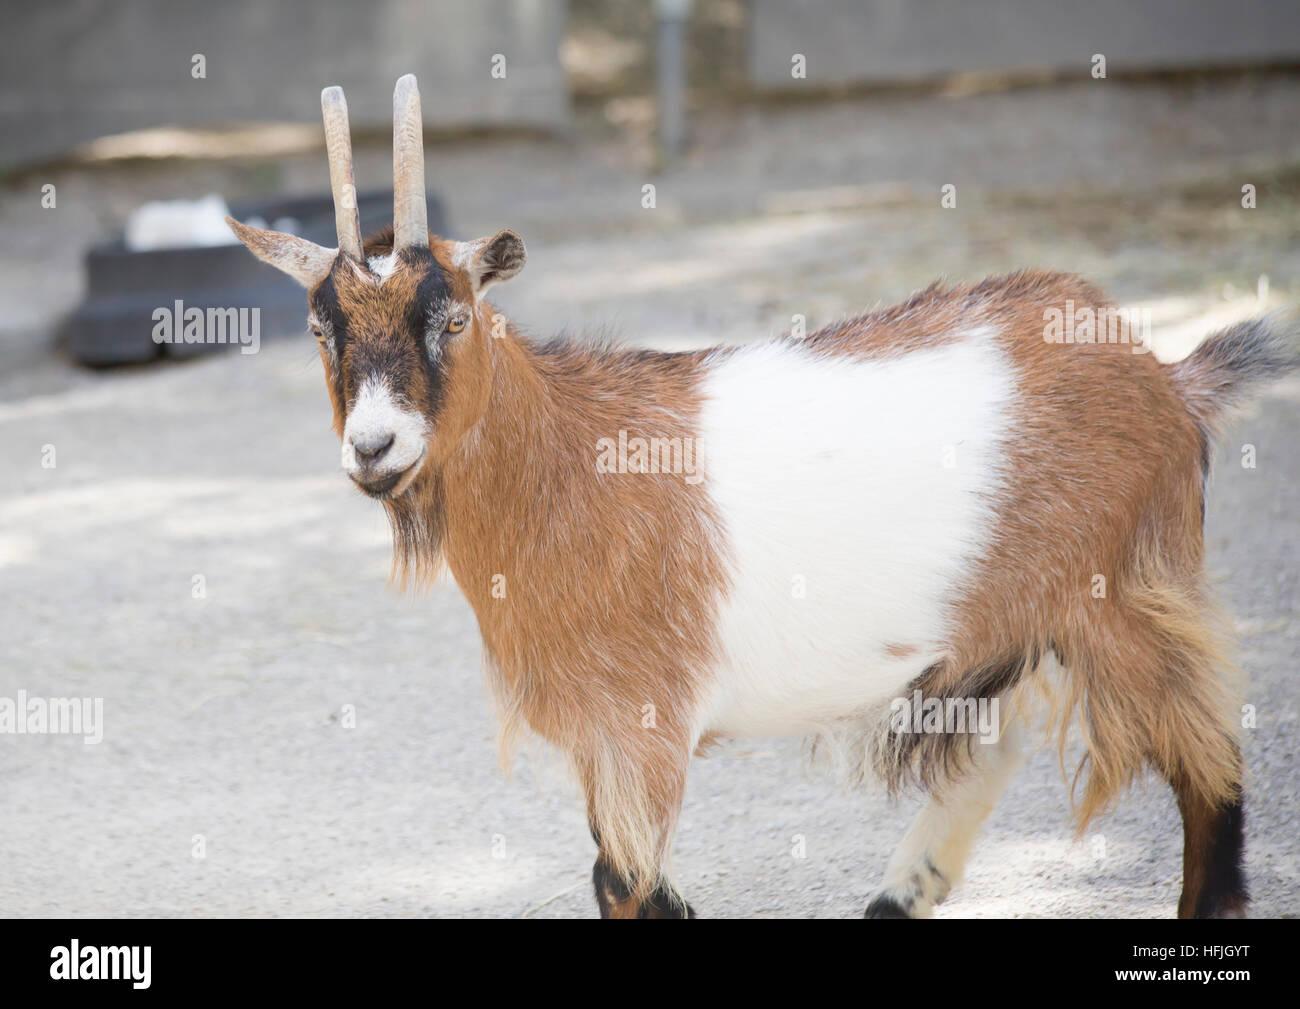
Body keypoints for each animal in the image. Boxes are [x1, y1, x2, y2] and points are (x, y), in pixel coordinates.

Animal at [228, 76, 1294, 918]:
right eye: (321, 329)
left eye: (451, 315)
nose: (374, 447)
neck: (568, 464)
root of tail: (1167, 378)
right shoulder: (604, 741)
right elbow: (634, 881)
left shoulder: (643, 724)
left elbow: (622, 883)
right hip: (1011, 621)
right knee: (1001, 752)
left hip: (1126, 594)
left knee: (1209, 760)